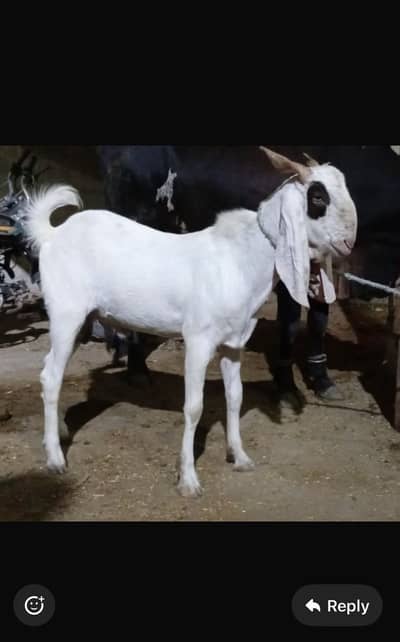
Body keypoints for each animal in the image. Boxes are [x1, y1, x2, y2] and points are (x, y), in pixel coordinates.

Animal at [24, 148, 357, 497]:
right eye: (317, 196)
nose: (349, 242)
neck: (241, 259)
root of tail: (52, 234)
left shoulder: (234, 343)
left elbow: (234, 397)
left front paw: (239, 456)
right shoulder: (198, 339)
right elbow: (194, 406)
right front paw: (188, 479)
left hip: (84, 319)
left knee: (51, 372)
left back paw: (58, 433)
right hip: (66, 313)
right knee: (51, 376)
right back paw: (55, 459)